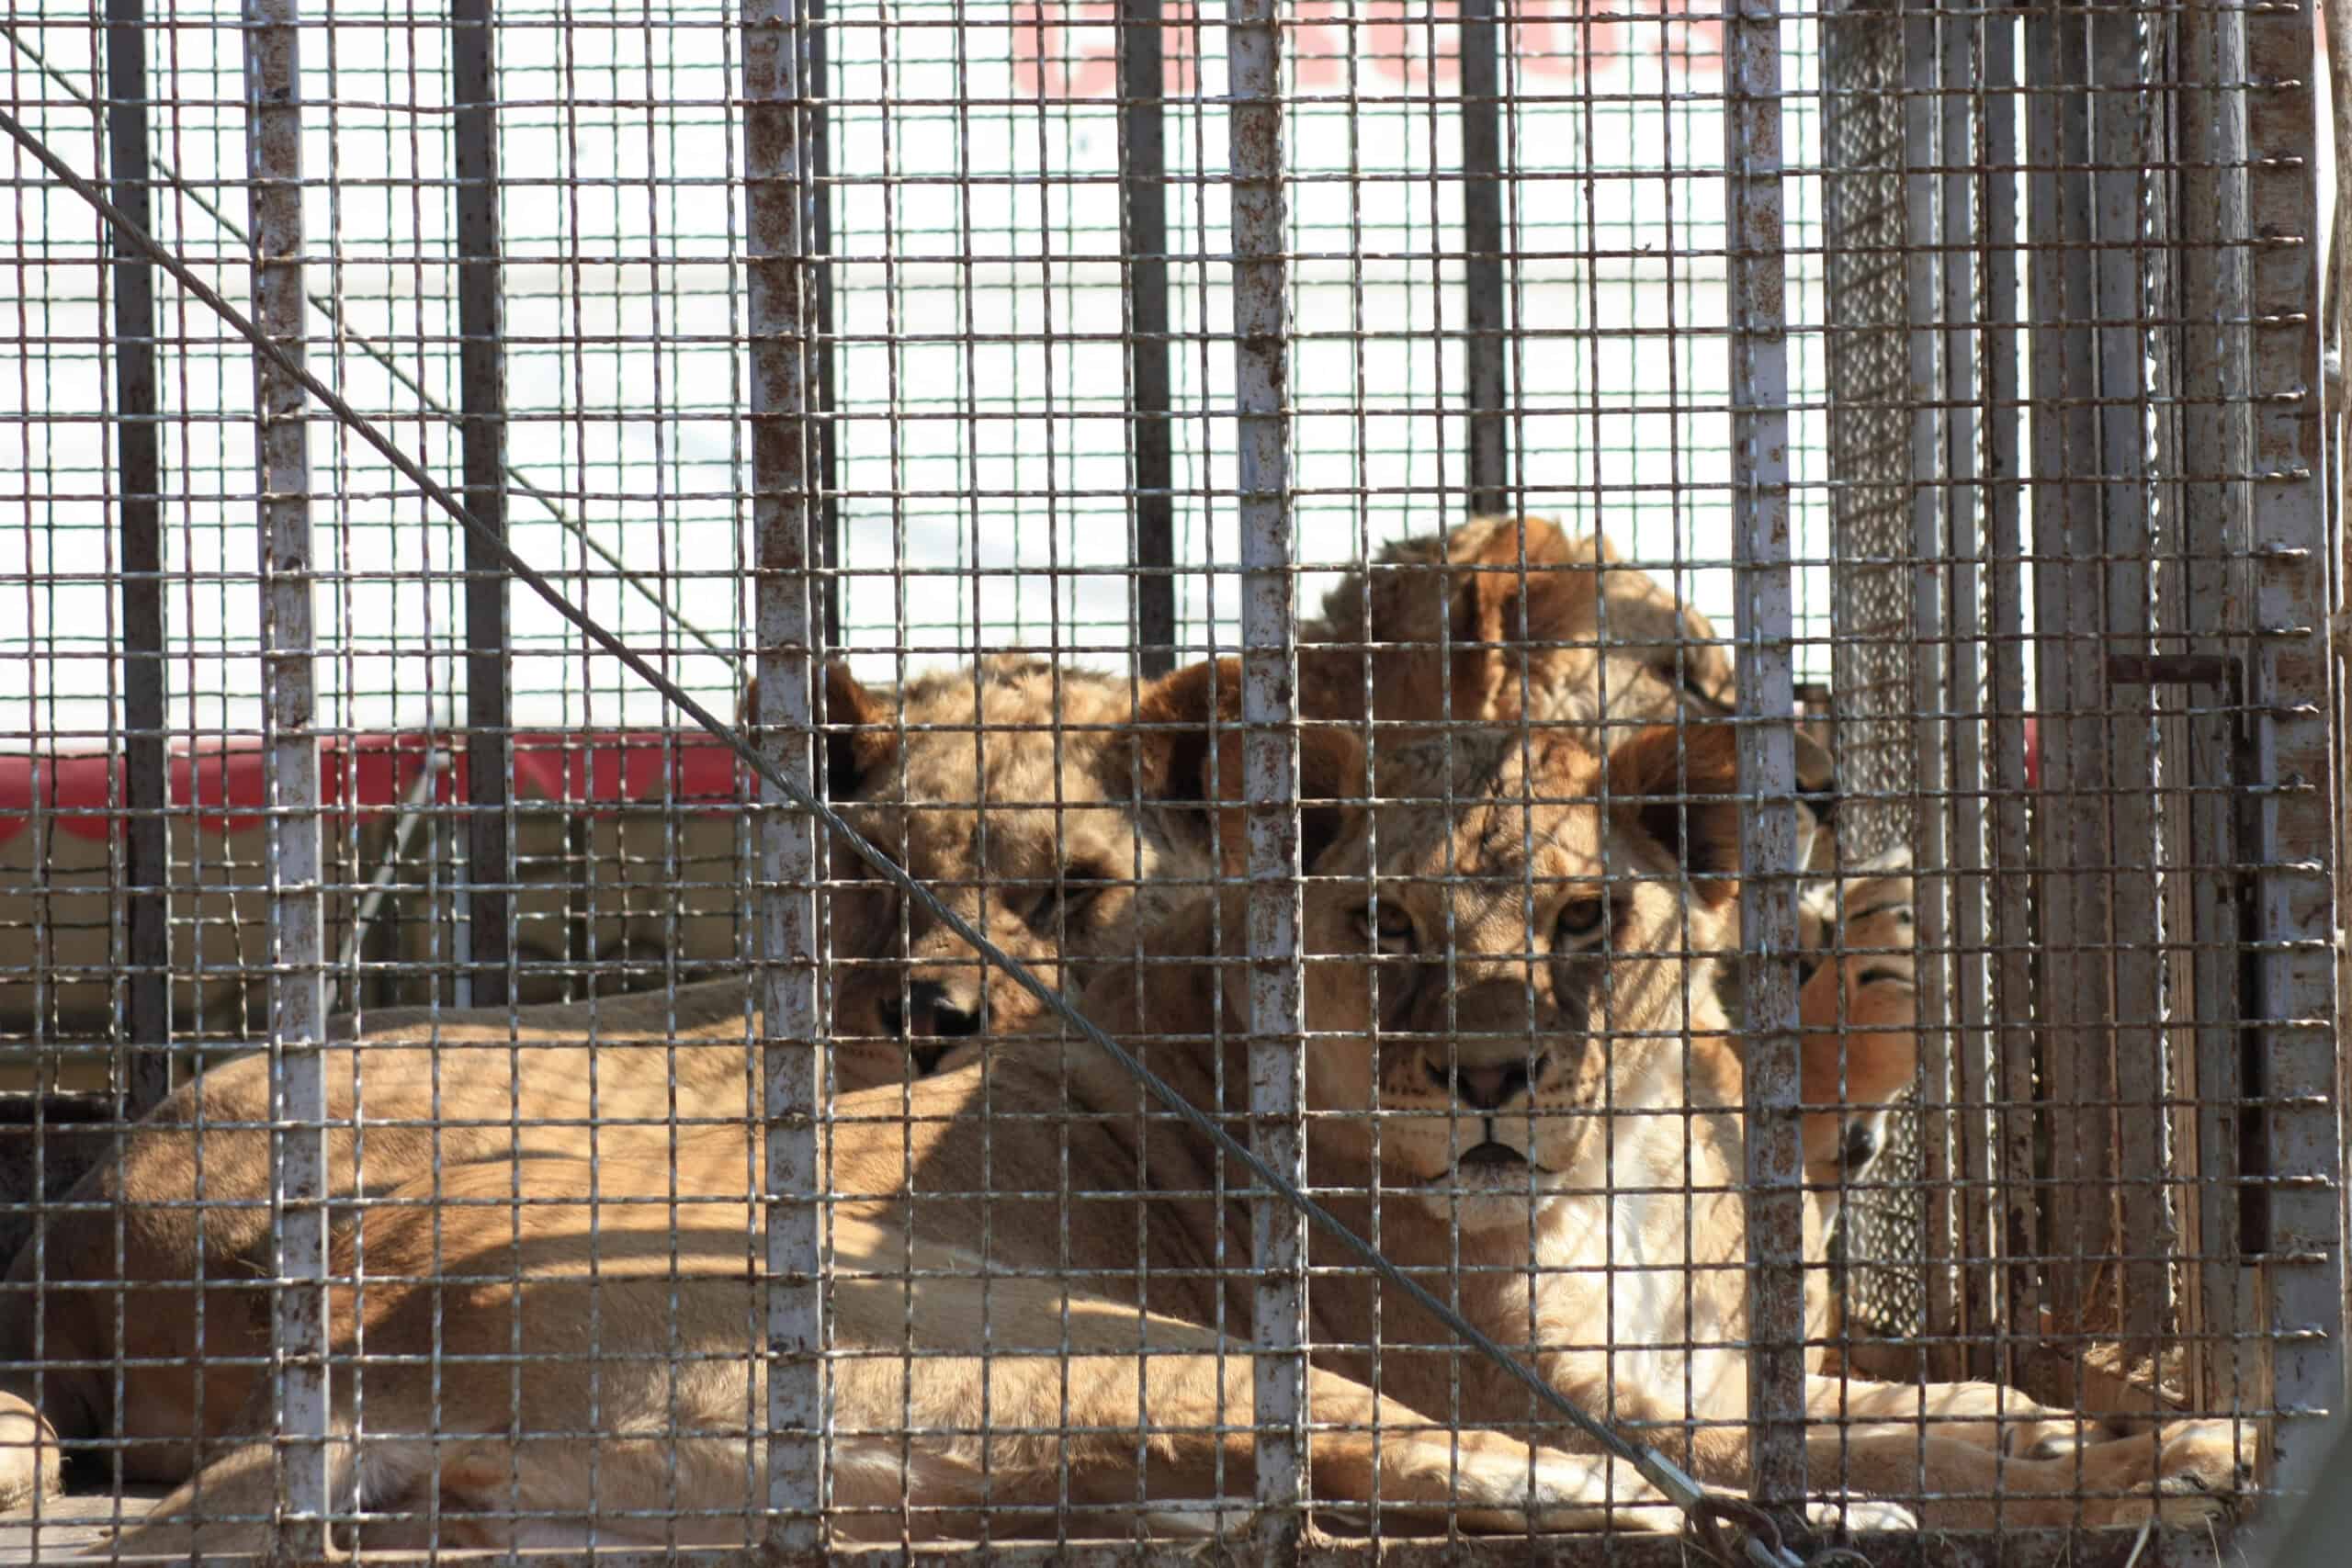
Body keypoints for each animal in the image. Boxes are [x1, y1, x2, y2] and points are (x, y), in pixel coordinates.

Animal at [103, 711, 2246, 1553]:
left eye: (1581, 916)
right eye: (1384, 923)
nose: (1488, 1082)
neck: (1624, 1163)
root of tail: (389, 1362)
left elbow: (1880, 1367)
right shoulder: (1563, 1374)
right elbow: (1906, 1421)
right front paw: (2141, 1451)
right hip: (1067, 1337)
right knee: (1439, 1460)